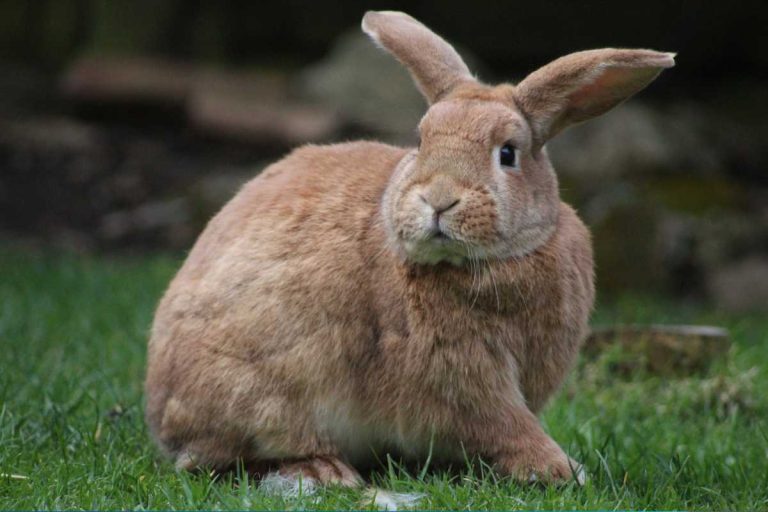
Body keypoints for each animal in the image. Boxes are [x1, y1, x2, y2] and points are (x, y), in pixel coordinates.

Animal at [145, 10, 674, 488]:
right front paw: (560, 469)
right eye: (420, 141)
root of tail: (161, 410)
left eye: (508, 153)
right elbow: (505, 424)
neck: (490, 262)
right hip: (268, 394)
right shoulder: (463, 376)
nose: (438, 198)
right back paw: (324, 471)